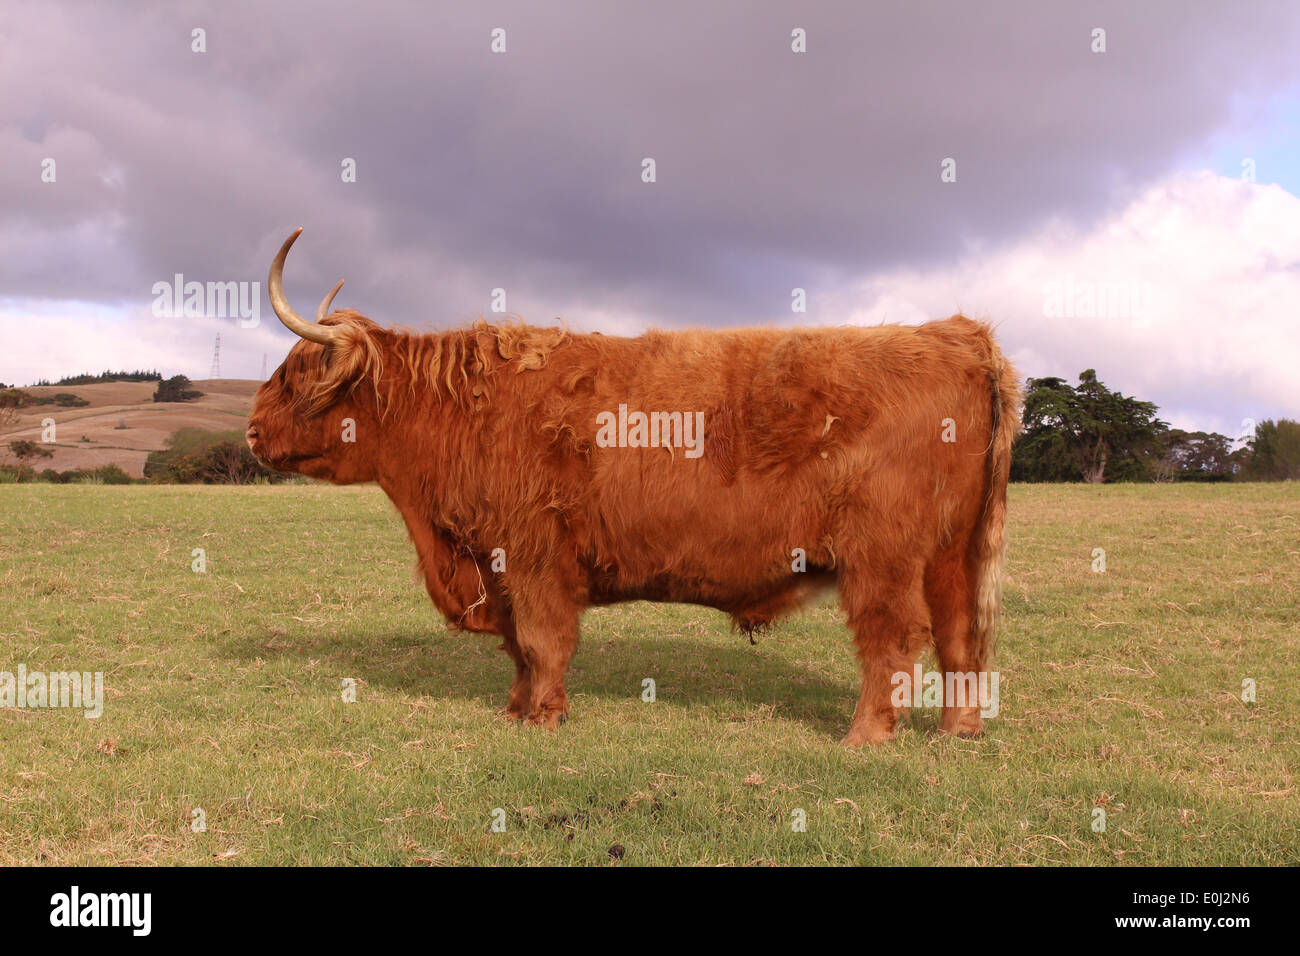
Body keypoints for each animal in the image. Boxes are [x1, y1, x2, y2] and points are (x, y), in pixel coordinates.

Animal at [246, 229, 1020, 746]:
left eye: (295, 372)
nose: (251, 432)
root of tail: (959, 334)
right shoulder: (500, 564)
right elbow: (519, 647)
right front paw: (516, 710)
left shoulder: (533, 557)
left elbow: (542, 640)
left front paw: (546, 717)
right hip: (950, 553)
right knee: (957, 635)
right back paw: (958, 732)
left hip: (880, 556)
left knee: (892, 637)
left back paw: (864, 735)